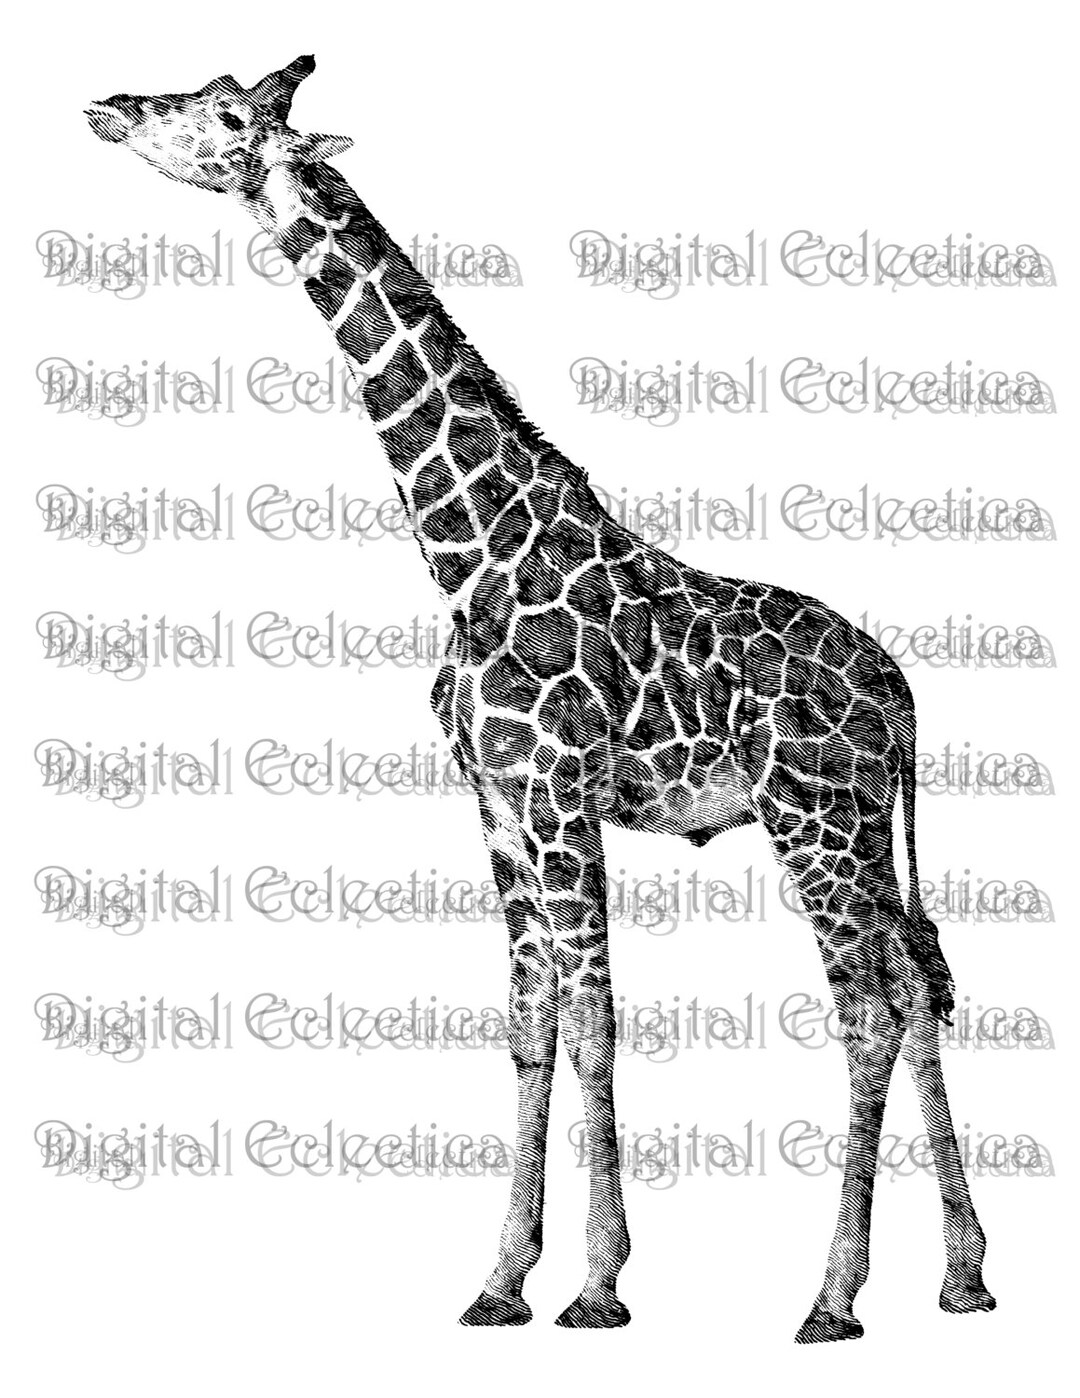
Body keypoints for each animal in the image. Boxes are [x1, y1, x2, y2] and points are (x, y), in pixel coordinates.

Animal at [86, 56, 996, 1341]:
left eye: (222, 112)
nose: (112, 106)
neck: (466, 555)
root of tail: (905, 696)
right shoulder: (499, 806)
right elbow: (531, 1024)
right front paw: (500, 1280)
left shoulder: (563, 797)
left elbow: (599, 1018)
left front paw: (601, 1286)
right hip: (865, 826)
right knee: (920, 984)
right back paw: (962, 1275)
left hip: (811, 820)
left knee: (867, 1008)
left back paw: (831, 1297)